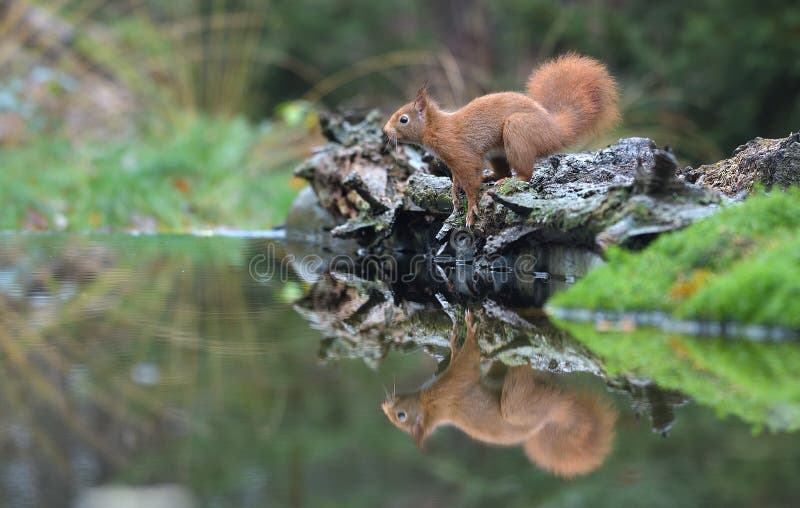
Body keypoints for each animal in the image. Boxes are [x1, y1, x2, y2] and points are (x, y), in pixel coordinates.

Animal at [381, 311, 617, 478]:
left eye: (400, 416)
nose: (384, 404)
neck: (429, 405)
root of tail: (552, 416)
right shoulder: (451, 389)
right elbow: (467, 363)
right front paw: (469, 333)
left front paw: (457, 339)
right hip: (516, 406)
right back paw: (525, 367)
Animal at [383, 53, 619, 227]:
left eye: (403, 119)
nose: (385, 131)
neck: (437, 128)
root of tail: (554, 130)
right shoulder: (454, 163)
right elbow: (458, 179)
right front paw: (454, 193)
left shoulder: (462, 154)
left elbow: (471, 182)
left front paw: (470, 211)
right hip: (498, 153)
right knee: (502, 170)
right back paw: (491, 176)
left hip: (518, 129)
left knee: (523, 174)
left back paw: (510, 180)